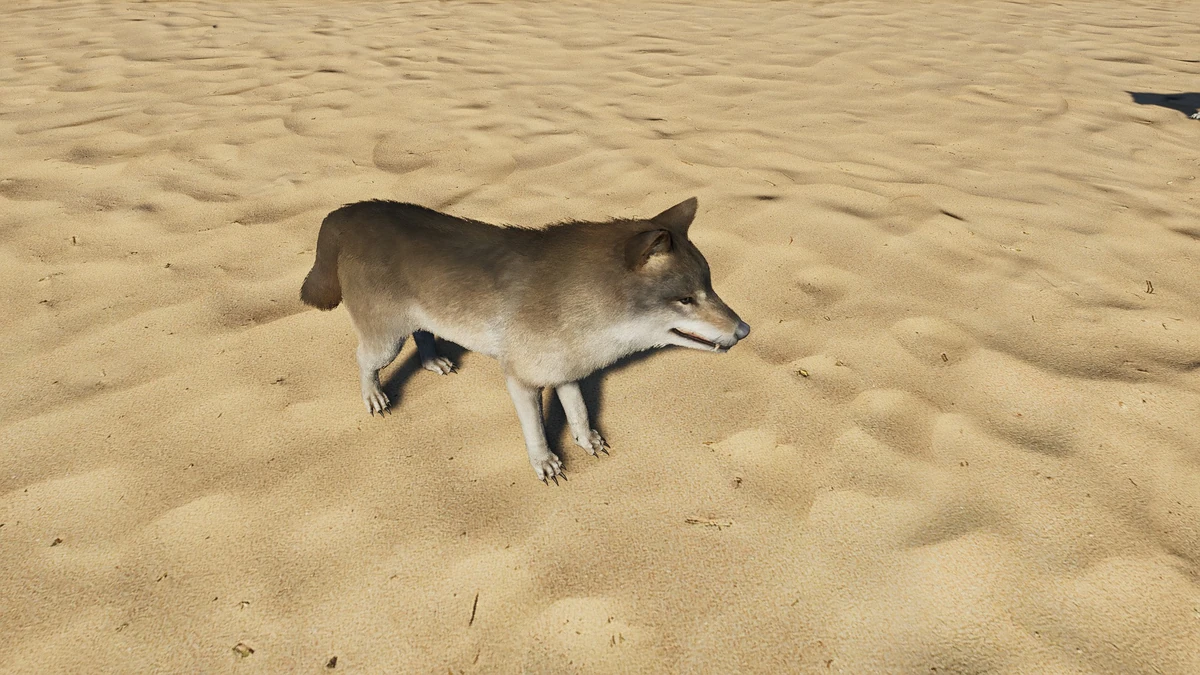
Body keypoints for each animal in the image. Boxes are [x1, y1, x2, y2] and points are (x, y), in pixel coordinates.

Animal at [300, 197, 750, 483]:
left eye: (710, 286)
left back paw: (433, 361)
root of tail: (349, 210)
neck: (579, 300)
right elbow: (536, 429)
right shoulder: (521, 378)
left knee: (424, 333)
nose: (744, 331)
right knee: (363, 359)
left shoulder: (565, 368)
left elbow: (579, 411)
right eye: (686, 299)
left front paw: (587, 440)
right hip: (385, 342)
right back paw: (374, 396)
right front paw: (545, 462)